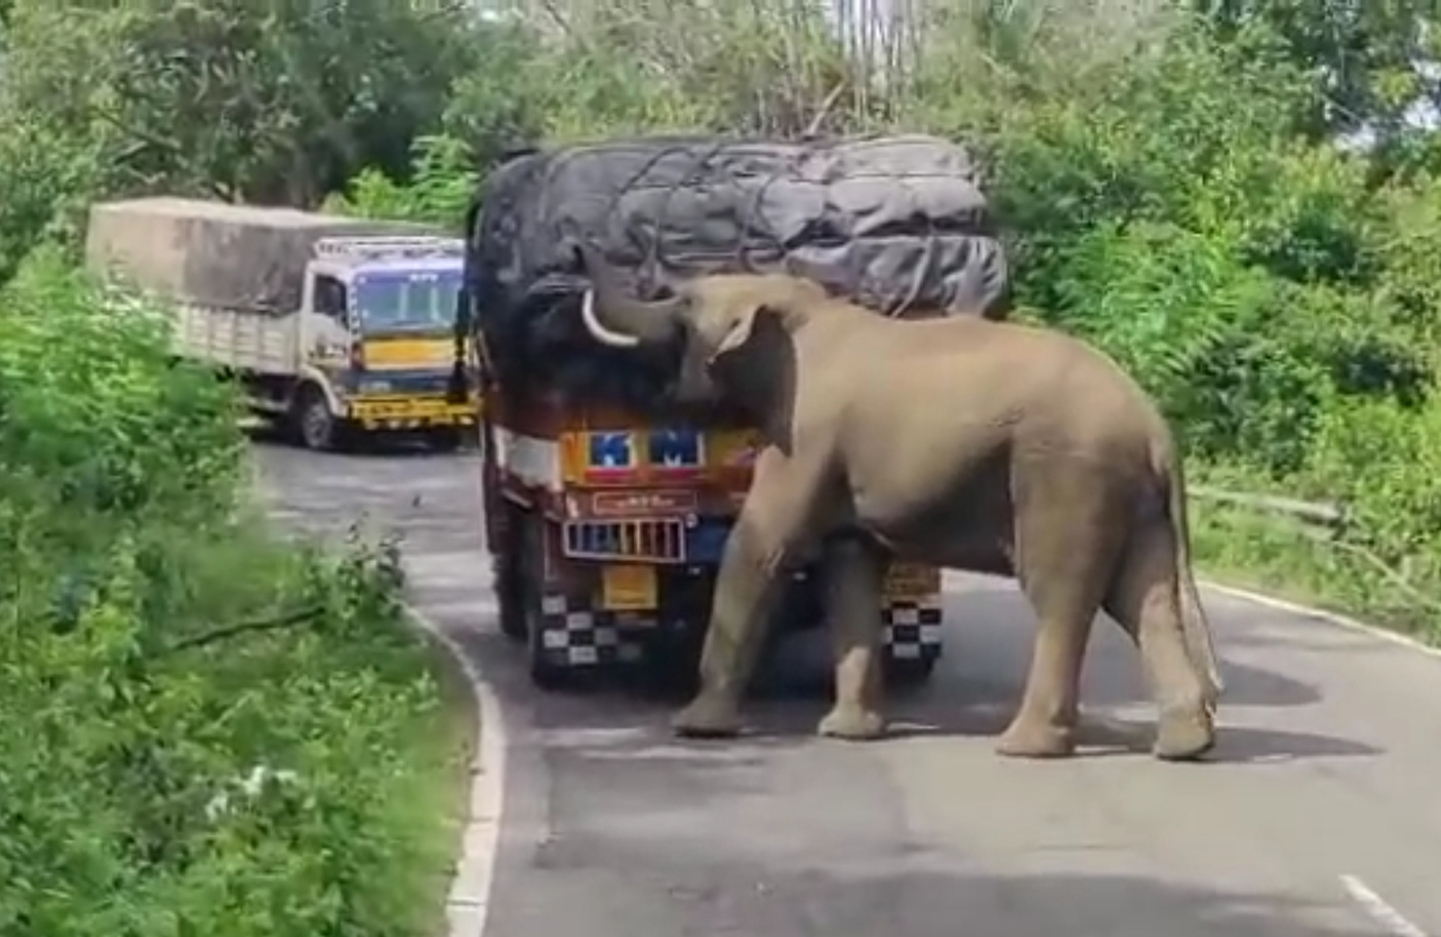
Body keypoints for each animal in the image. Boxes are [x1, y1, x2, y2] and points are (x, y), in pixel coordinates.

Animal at [573, 248, 1225, 761]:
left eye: (683, 307)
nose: (578, 255)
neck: (799, 304)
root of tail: (1155, 427)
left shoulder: (805, 432)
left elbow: (762, 547)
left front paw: (696, 728)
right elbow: (848, 566)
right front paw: (847, 733)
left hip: (1066, 474)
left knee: (1060, 595)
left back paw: (1025, 746)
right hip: (1128, 494)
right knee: (1143, 597)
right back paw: (1185, 745)